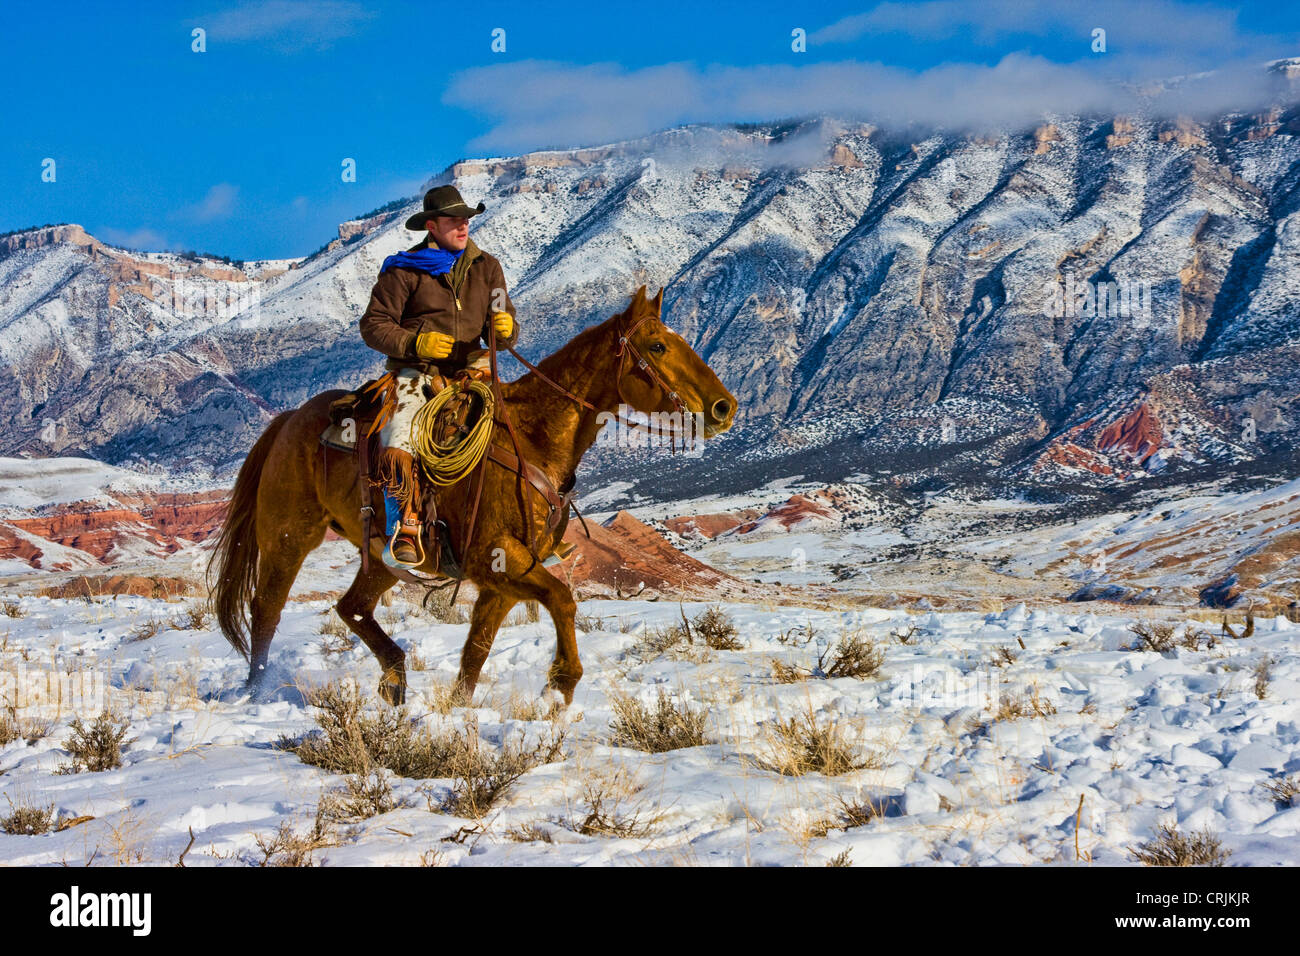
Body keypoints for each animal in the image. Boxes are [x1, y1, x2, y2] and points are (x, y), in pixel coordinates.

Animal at [206, 286, 737, 708]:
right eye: (657, 345)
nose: (724, 407)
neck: (532, 438)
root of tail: (287, 419)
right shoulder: (495, 558)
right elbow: (563, 599)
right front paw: (561, 684)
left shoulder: (502, 579)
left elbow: (475, 652)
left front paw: (458, 714)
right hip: (288, 538)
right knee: (266, 609)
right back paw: (257, 692)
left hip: (381, 557)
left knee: (351, 607)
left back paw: (394, 679)